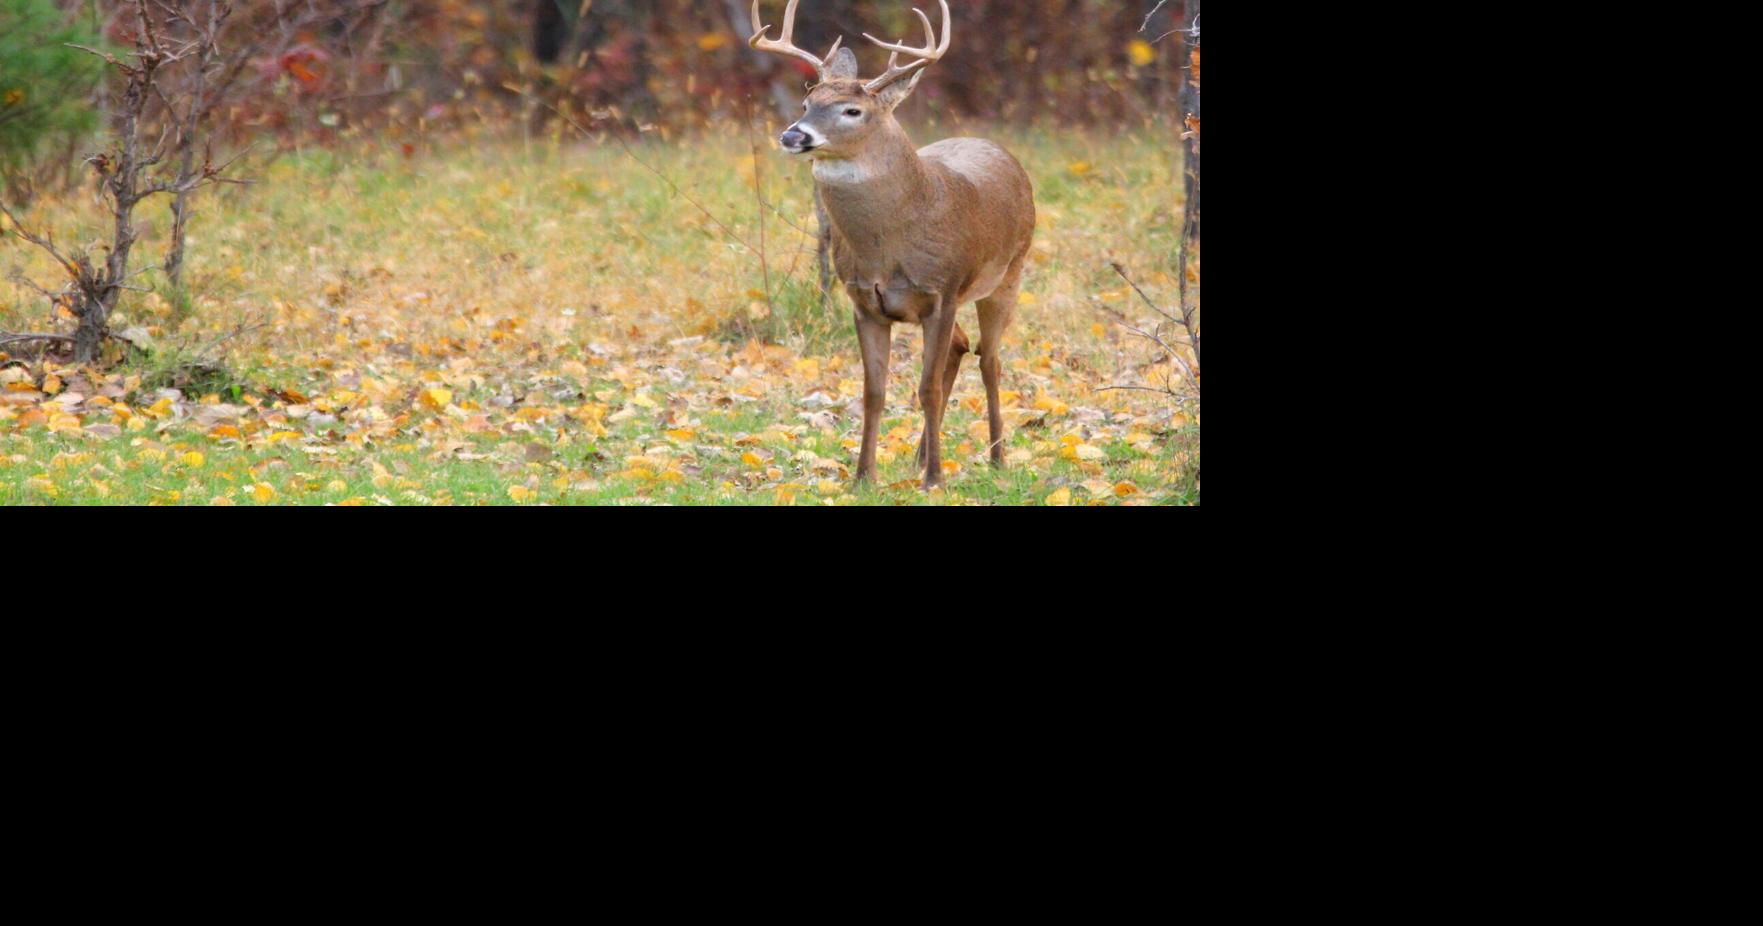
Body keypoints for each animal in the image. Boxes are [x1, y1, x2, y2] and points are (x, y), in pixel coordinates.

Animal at [748, 0, 1036, 489]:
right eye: (807, 103)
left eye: (851, 111)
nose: (793, 135)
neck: (889, 247)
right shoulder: (864, 301)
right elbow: (875, 391)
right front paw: (864, 476)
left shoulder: (942, 292)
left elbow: (927, 387)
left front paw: (935, 480)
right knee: (962, 348)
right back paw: (920, 456)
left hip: (1008, 274)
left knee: (990, 359)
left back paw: (998, 458)